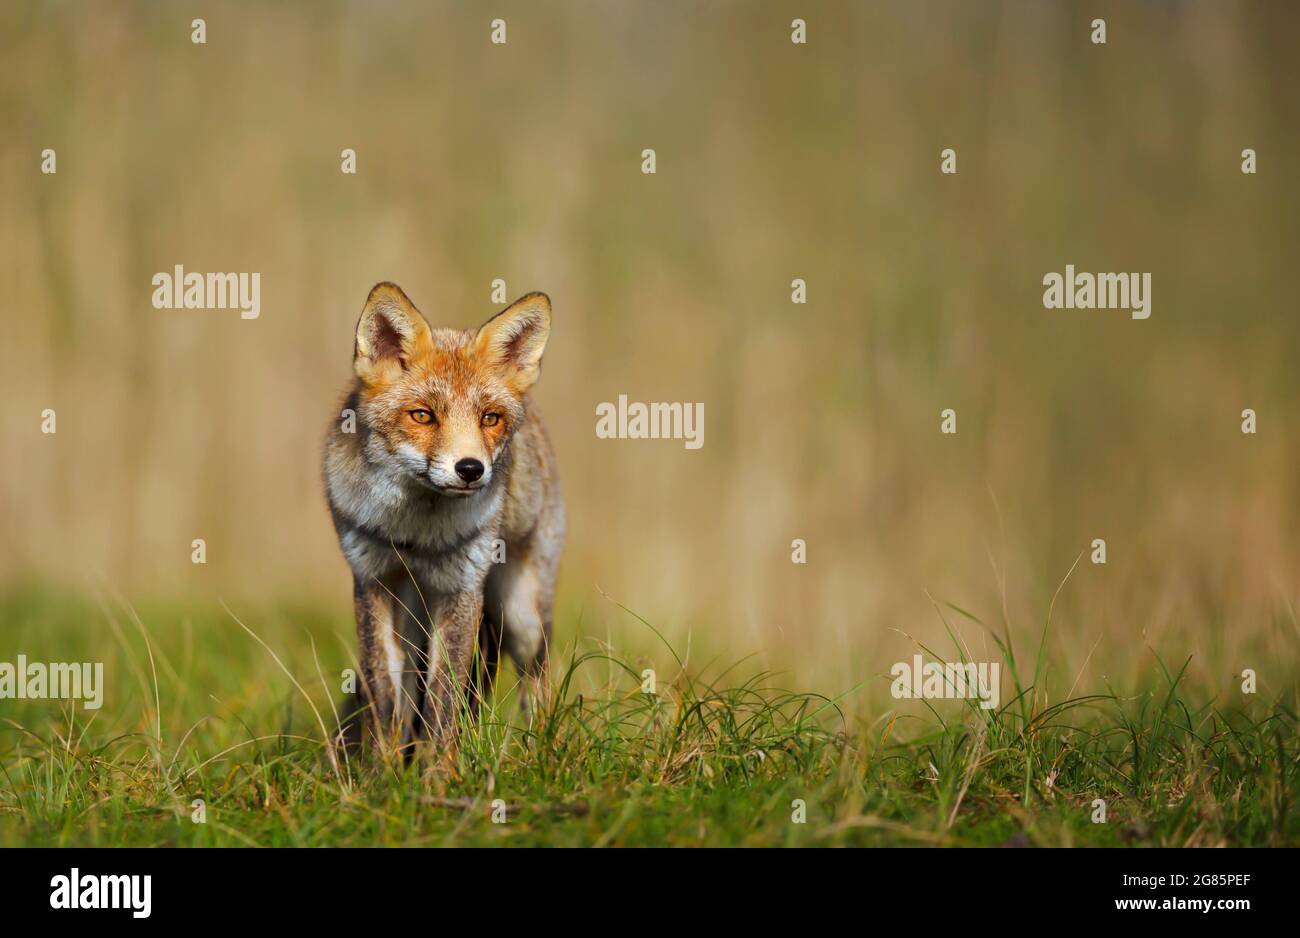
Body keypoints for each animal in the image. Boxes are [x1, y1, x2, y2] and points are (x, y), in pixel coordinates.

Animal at [323, 282, 564, 758]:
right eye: (423, 415)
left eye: (490, 419)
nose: (471, 469)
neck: (415, 534)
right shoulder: (374, 579)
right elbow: (383, 696)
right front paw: (381, 772)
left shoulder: (461, 587)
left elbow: (444, 702)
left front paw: (437, 774)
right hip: (417, 615)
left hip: (521, 617)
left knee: (538, 682)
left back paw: (541, 756)